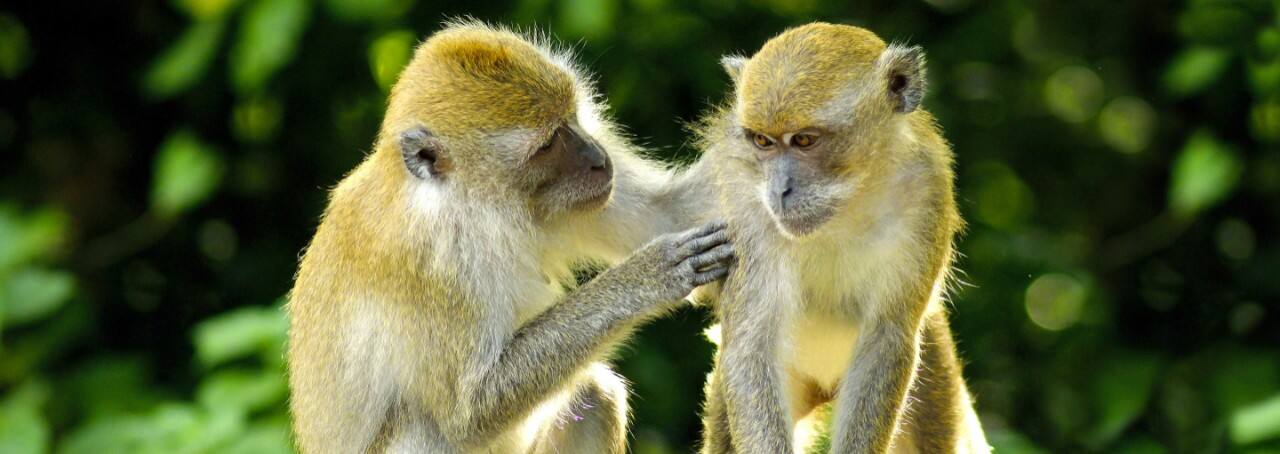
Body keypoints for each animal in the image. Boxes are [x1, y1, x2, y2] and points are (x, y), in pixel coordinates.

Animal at [286, 21, 733, 454]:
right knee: (429, 426)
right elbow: (470, 411)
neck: (473, 205)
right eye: (548, 144)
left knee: (593, 395)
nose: (598, 159)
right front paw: (648, 275)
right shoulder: (429, 263)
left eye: (571, 119)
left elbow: (668, 212)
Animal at [693, 23, 990, 453]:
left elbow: (886, 339)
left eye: (805, 140)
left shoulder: (927, 191)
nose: (779, 192)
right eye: (763, 142)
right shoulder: (746, 203)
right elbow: (751, 344)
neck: (849, 201)